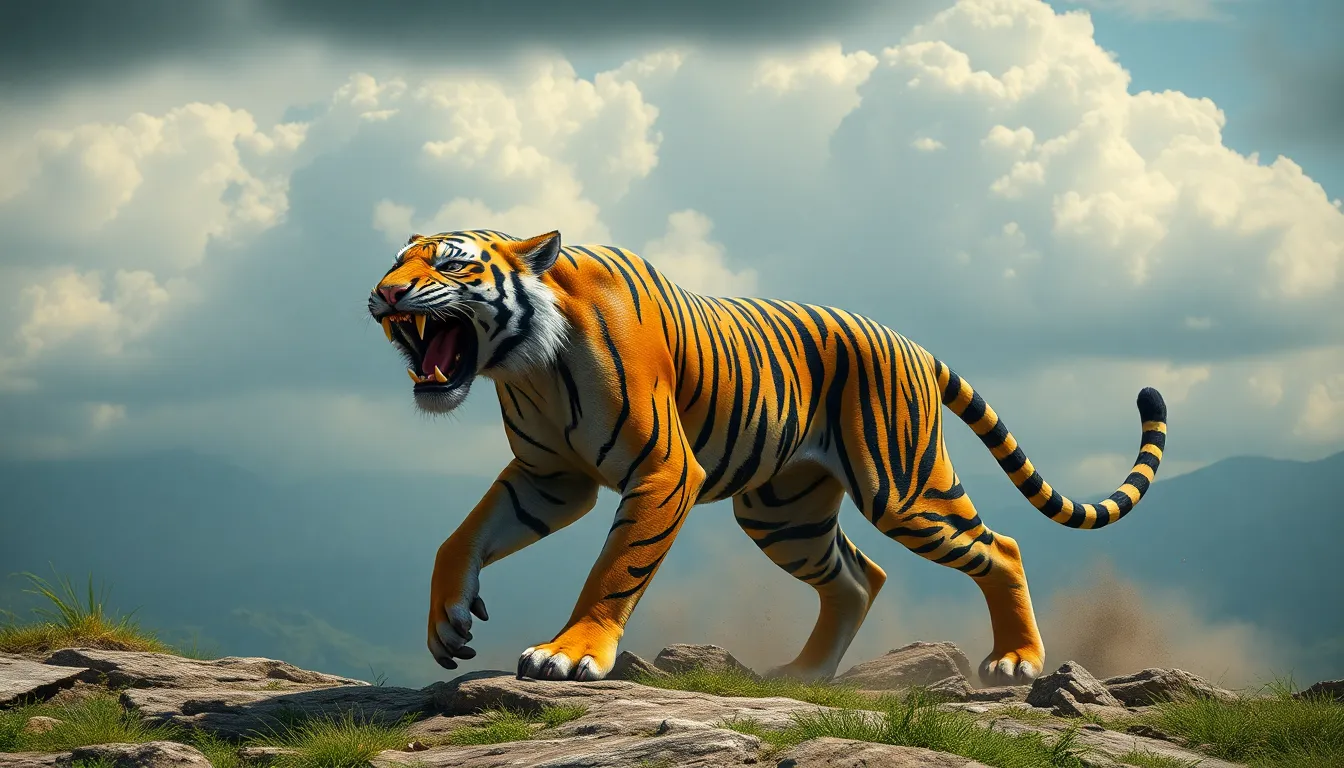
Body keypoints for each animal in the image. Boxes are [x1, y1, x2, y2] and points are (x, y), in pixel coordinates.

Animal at [366, 228, 1167, 686]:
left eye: (452, 266)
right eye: (395, 262)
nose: (380, 294)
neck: (525, 364)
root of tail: (914, 343)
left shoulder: (663, 473)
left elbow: (614, 571)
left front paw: (571, 653)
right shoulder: (550, 479)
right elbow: (460, 537)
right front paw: (448, 623)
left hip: (903, 490)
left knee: (999, 547)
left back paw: (1016, 661)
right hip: (785, 513)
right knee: (859, 578)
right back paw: (803, 673)